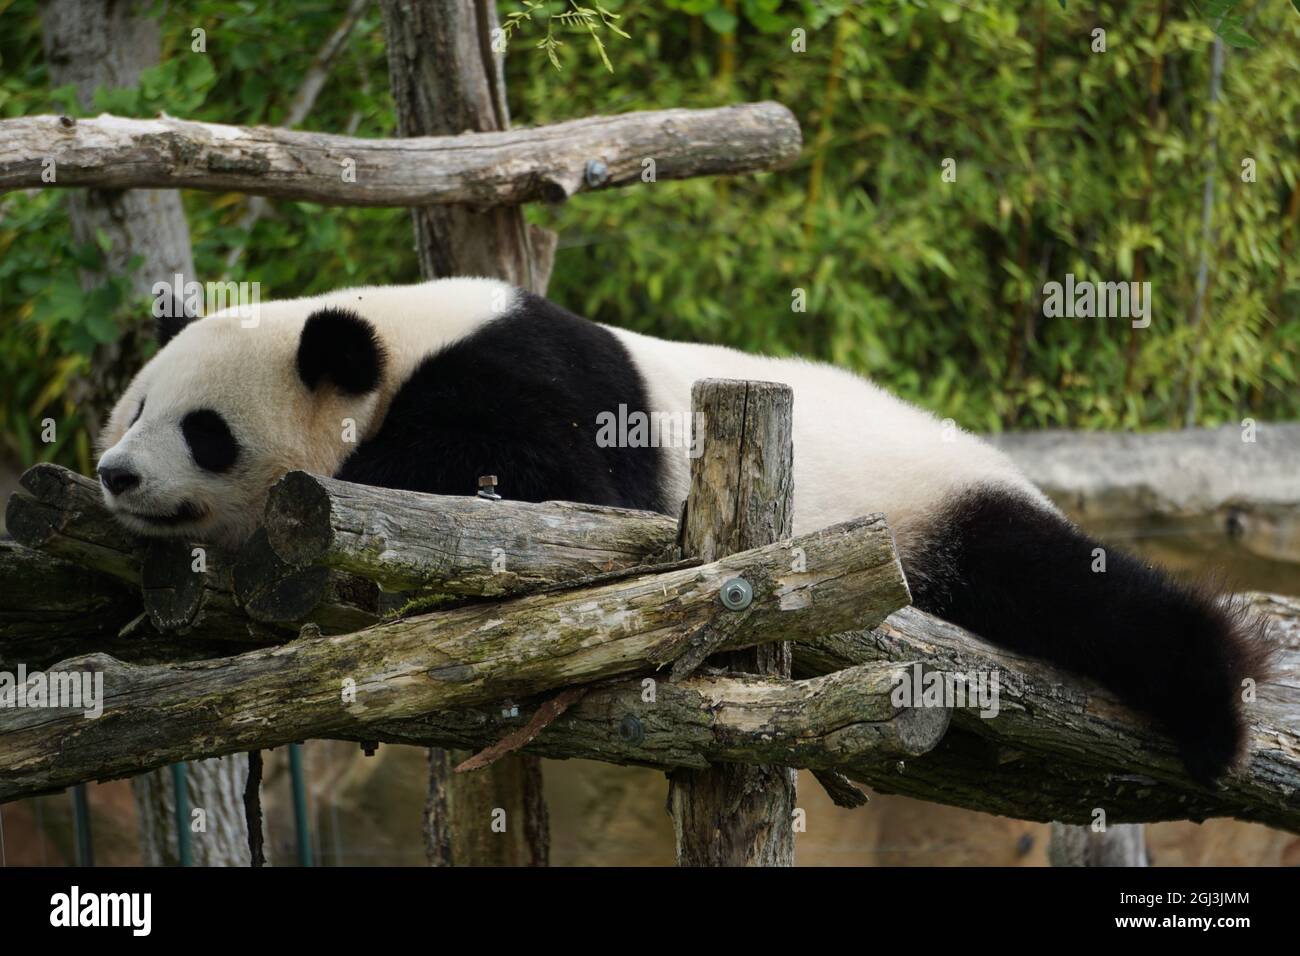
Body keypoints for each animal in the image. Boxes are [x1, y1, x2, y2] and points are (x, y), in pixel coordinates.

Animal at [96, 277, 1269, 783]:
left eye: (203, 431)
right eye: (134, 407)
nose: (112, 473)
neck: (394, 342)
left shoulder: (536, 390)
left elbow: (542, 494)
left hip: (932, 506)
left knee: (1079, 591)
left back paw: (1214, 706)